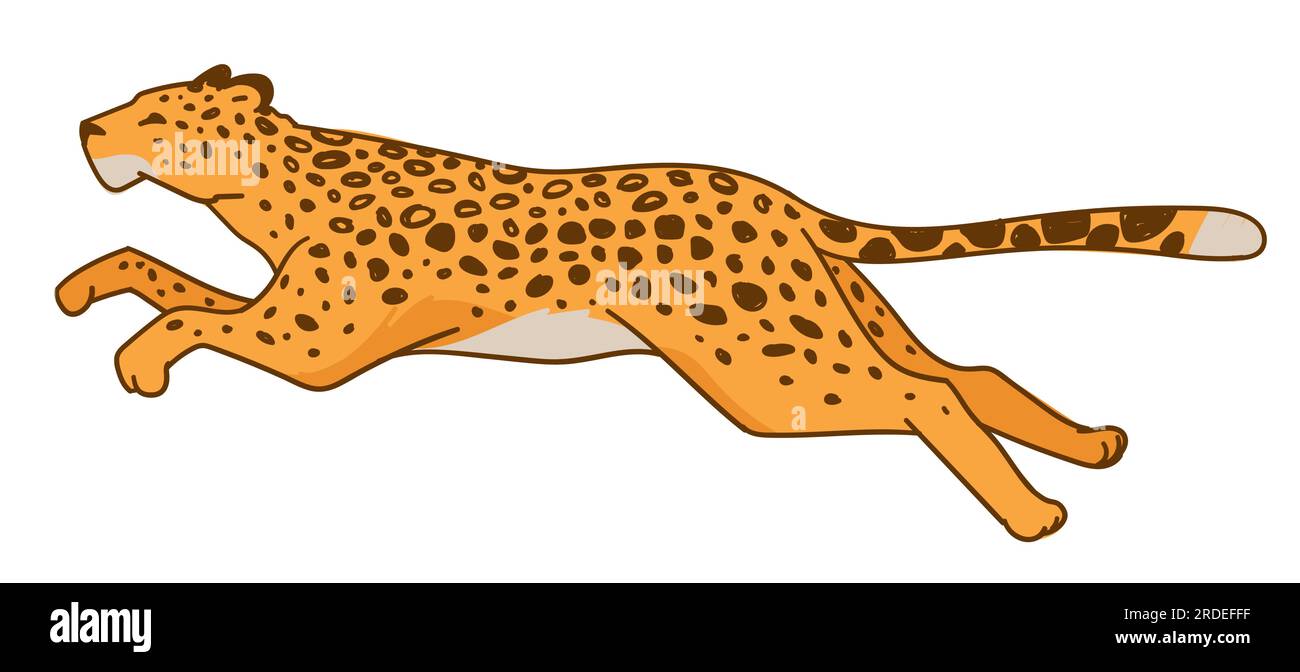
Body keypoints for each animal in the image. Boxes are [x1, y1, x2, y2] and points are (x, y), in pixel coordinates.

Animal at [59, 65, 1266, 540]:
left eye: (151, 111)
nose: (83, 128)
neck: (272, 183)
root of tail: (780, 196)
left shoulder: (304, 347)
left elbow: (191, 312)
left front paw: (140, 360)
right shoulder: (283, 318)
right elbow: (149, 263)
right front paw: (79, 287)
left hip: (773, 375)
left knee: (926, 398)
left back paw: (1029, 518)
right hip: (829, 331)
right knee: (964, 372)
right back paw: (1090, 450)